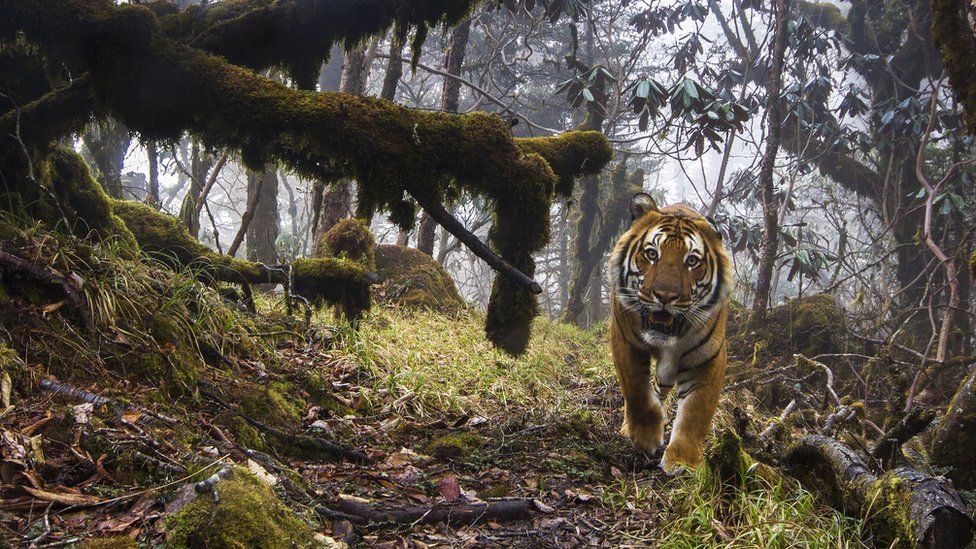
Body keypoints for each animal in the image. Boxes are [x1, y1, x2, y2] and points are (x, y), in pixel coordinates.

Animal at [607, 192, 732, 474]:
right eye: (652, 254)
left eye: (692, 261)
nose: (665, 296)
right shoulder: (624, 340)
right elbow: (636, 390)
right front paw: (646, 435)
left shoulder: (707, 358)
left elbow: (696, 411)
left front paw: (683, 460)